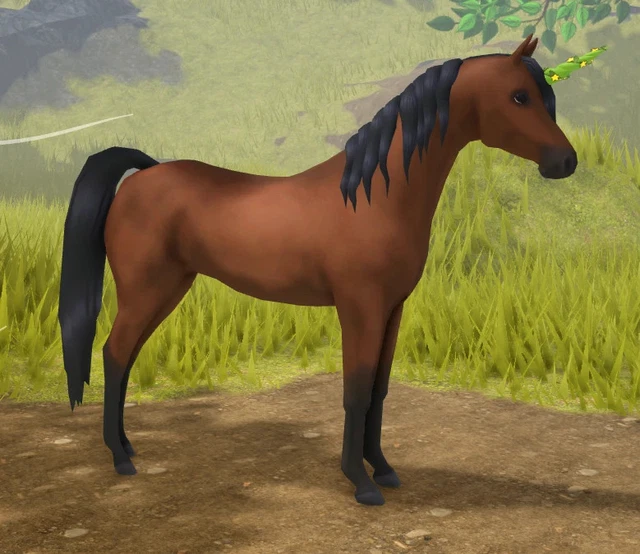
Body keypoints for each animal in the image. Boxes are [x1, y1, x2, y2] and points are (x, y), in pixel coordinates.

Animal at [58, 34, 577, 506]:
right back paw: (120, 459)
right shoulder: (360, 308)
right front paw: (361, 483)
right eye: (519, 96)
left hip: (168, 290)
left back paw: (128, 448)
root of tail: (144, 173)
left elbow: (380, 391)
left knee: (124, 358)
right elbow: (357, 391)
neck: (374, 197)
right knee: (115, 354)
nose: (565, 162)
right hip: (146, 291)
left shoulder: (392, 310)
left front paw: (383, 468)